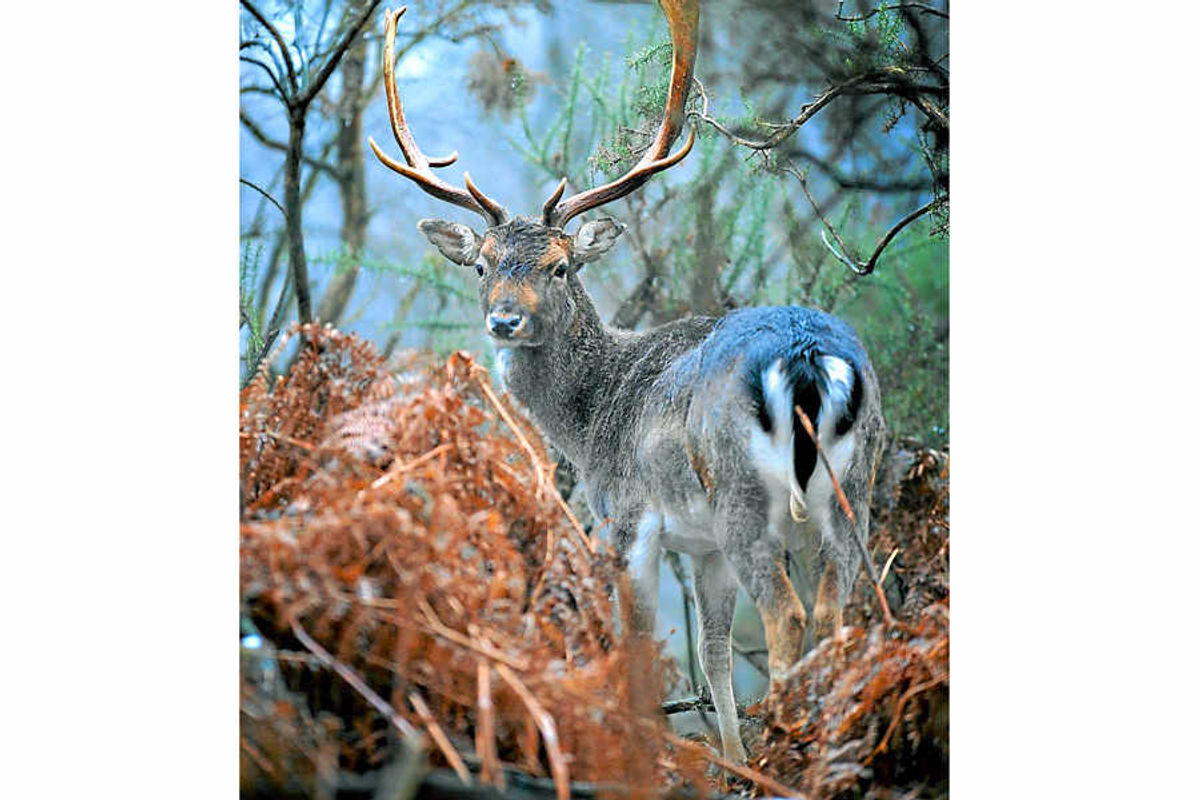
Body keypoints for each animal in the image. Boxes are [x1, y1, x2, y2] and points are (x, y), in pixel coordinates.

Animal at [368, 1, 885, 764]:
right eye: (482, 265)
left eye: (559, 267)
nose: (504, 320)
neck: (587, 423)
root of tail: (808, 359)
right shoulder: (700, 548)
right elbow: (715, 650)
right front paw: (733, 761)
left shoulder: (627, 518)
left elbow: (640, 648)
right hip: (855, 484)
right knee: (839, 607)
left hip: (741, 494)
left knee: (788, 615)